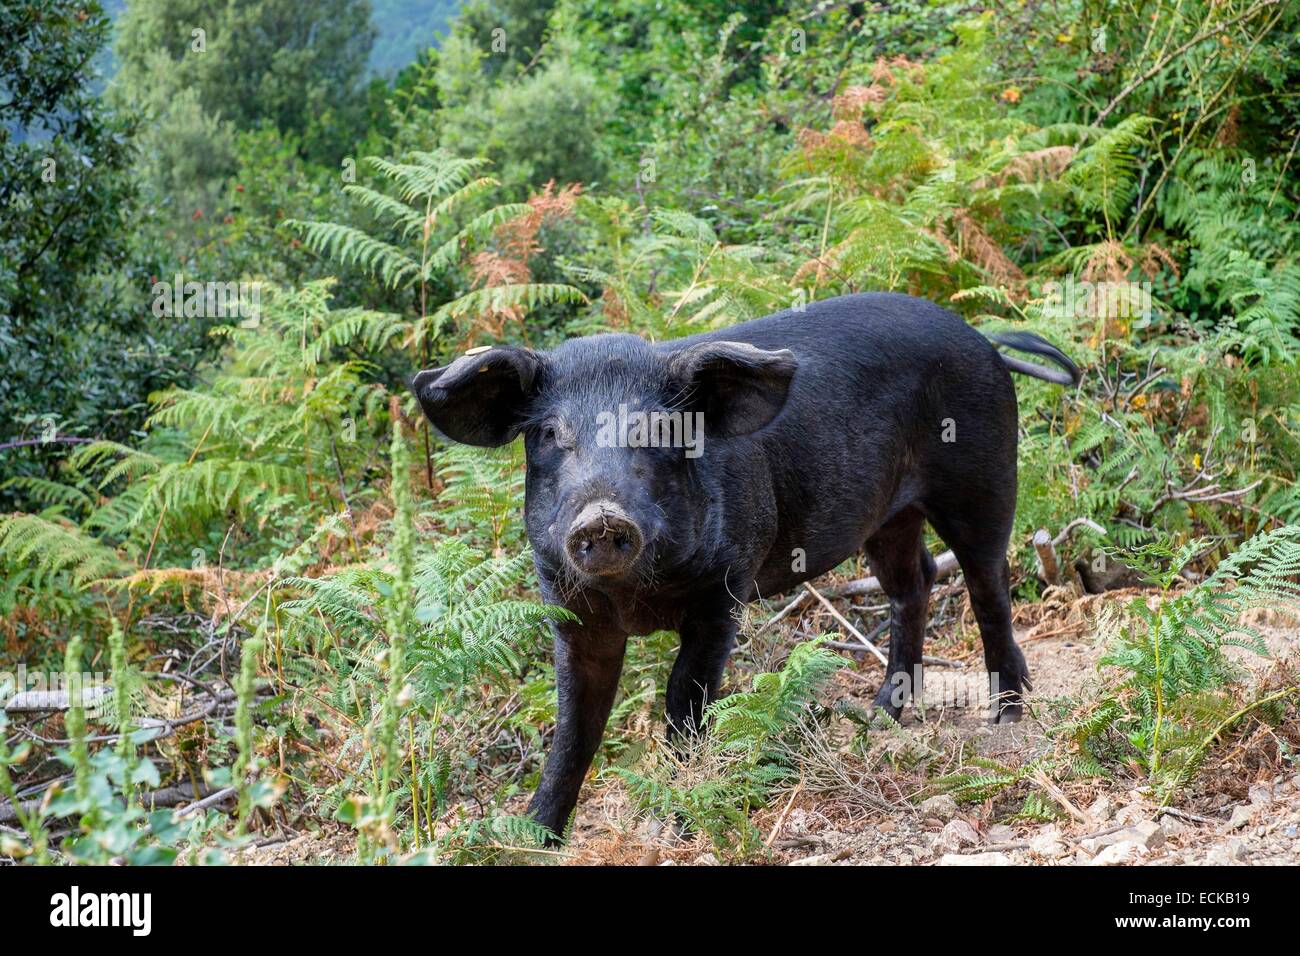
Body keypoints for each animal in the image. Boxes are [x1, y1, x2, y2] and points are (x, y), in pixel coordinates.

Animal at [412, 292, 1079, 842]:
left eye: (662, 430)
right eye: (550, 433)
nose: (602, 516)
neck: (636, 597)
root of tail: (982, 339)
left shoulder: (723, 592)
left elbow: (685, 702)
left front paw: (683, 818)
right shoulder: (571, 610)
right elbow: (573, 725)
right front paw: (527, 837)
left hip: (984, 473)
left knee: (988, 580)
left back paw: (1006, 714)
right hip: (889, 516)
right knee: (914, 580)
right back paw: (877, 717)